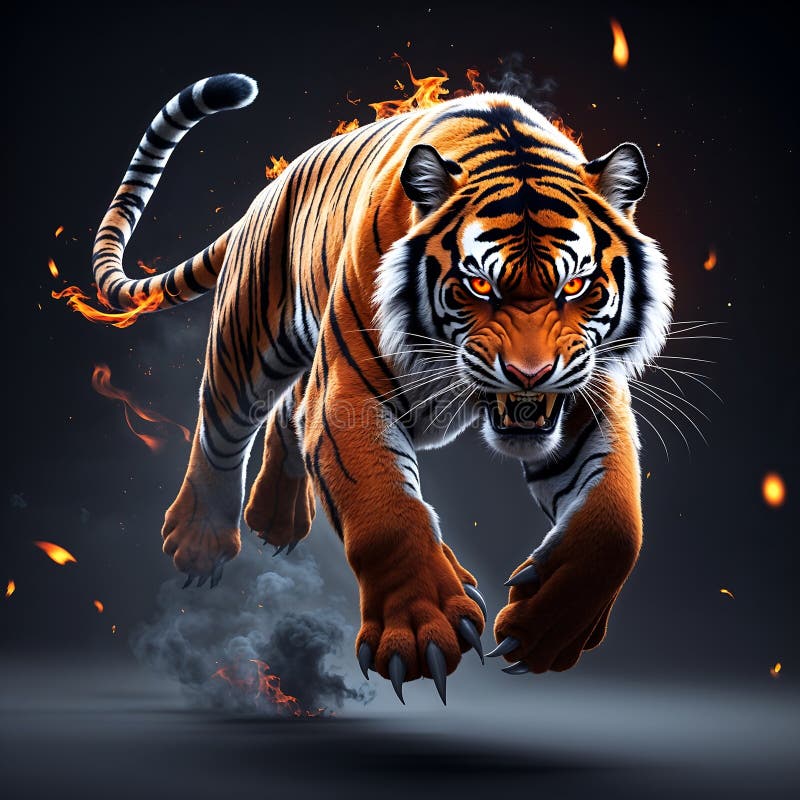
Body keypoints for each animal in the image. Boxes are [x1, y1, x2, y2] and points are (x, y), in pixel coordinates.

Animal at [90, 72, 672, 703]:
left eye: (577, 286)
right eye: (478, 285)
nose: (530, 375)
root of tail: (266, 195)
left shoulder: (592, 396)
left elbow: (615, 526)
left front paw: (544, 629)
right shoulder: (349, 398)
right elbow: (386, 512)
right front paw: (418, 630)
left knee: (289, 415)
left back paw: (278, 517)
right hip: (247, 336)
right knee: (221, 429)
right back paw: (200, 542)